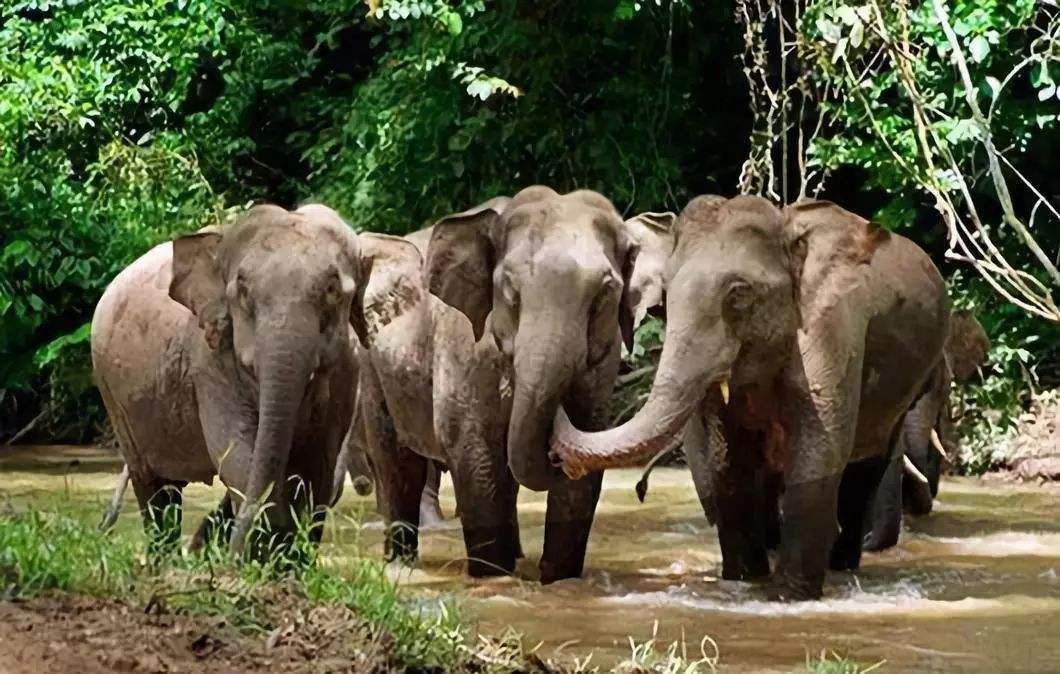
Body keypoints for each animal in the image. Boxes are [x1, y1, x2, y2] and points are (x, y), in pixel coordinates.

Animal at [91, 204, 367, 557]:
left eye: (333, 291)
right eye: (243, 293)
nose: (232, 556)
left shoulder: (349, 367)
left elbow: (318, 472)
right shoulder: (210, 363)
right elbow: (236, 455)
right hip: (114, 396)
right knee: (154, 490)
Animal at [550, 195, 950, 600]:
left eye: (739, 294)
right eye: (665, 295)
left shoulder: (833, 328)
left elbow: (818, 455)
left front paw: (789, 596)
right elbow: (729, 460)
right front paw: (745, 581)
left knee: (867, 464)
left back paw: (841, 564)